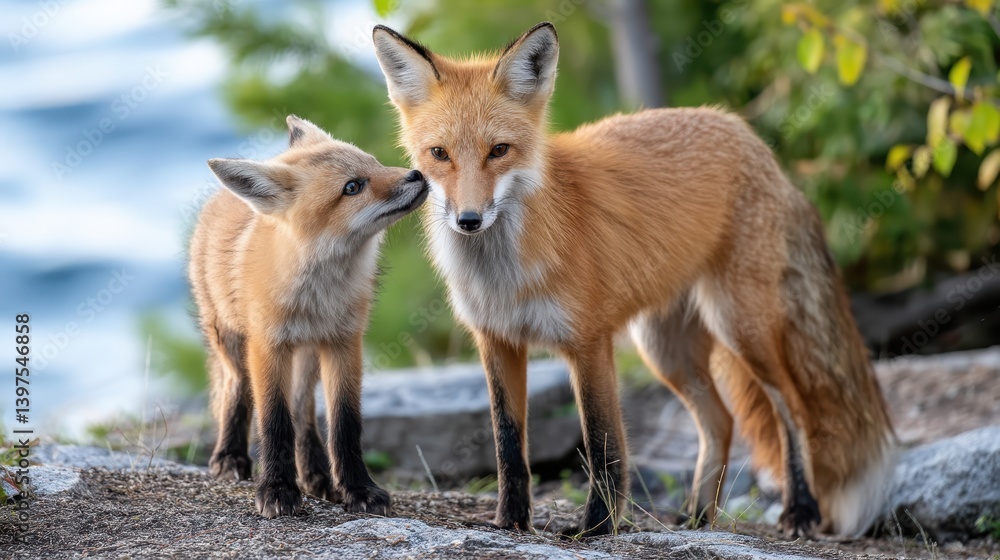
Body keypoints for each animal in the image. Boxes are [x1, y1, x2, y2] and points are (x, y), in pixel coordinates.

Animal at [188, 115, 428, 518]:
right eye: (352, 187)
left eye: (376, 163)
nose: (418, 174)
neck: (317, 296)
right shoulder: (268, 347)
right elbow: (273, 421)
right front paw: (277, 489)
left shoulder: (344, 342)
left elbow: (344, 425)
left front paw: (358, 489)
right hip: (232, 342)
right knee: (238, 391)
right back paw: (230, 457)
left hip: (307, 355)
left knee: (302, 412)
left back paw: (316, 476)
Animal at [372, 23, 896, 537]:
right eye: (439, 154)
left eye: (499, 151)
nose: (469, 220)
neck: (505, 274)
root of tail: (753, 140)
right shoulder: (496, 340)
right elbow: (508, 444)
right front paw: (511, 521)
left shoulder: (589, 341)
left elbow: (602, 443)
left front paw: (597, 528)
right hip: (665, 349)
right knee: (721, 422)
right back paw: (697, 518)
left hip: (740, 327)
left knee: (794, 409)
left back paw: (800, 512)